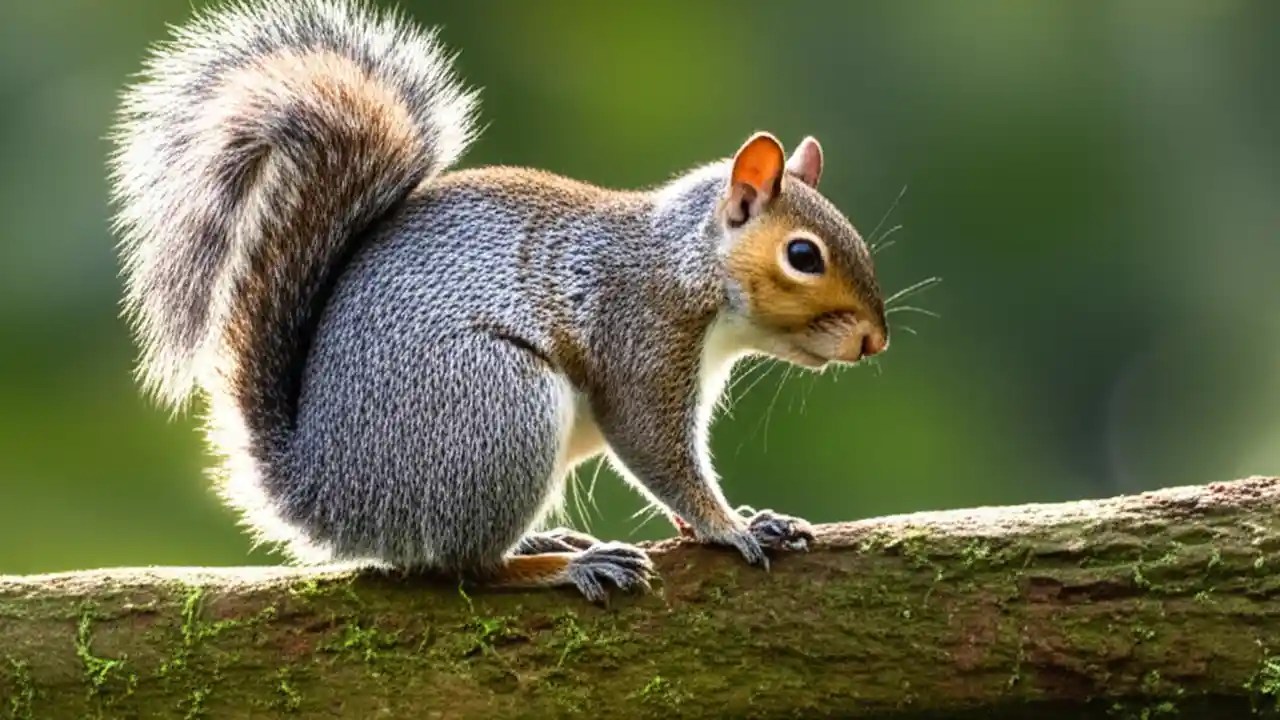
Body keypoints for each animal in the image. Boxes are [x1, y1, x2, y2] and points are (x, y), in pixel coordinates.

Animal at [108, 0, 889, 602]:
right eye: (803, 256)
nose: (874, 341)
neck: (685, 264)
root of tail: (327, 495)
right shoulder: (639, 335)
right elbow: (658, 453)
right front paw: (731, 527)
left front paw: (751, 517)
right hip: (499, 407)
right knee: (469, 567)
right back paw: (565, 565)